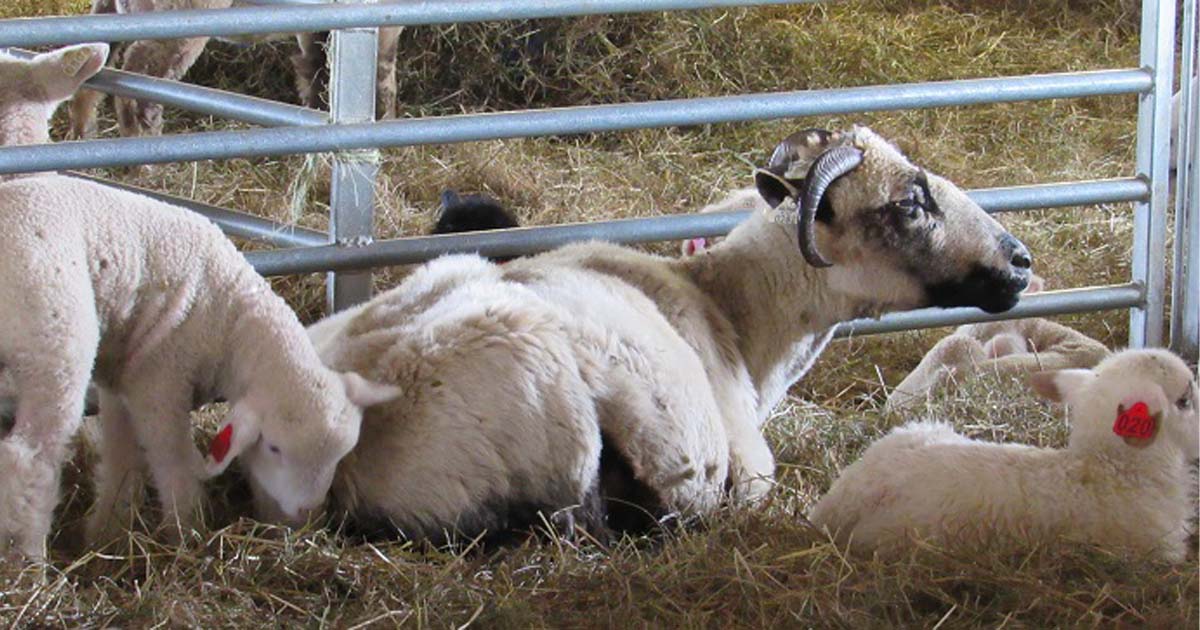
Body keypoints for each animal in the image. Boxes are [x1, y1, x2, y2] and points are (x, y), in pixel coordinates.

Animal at [0, 45, 401, 560]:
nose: (303, 516)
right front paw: (188, 533)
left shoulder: (121, 378)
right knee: (28, 461)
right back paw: (27, 565)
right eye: (274, 447)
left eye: (340, 456)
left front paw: (108, 533)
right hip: (55, 346)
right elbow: (173, 459)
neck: (233, 317)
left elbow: (121, 456)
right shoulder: (159, 379)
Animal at [66, 0, 402, 139]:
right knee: (136, 85)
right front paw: (386, 123)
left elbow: (315, 73)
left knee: (92, 68)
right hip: (176, 21)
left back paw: (83, 136)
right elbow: (383, 76)